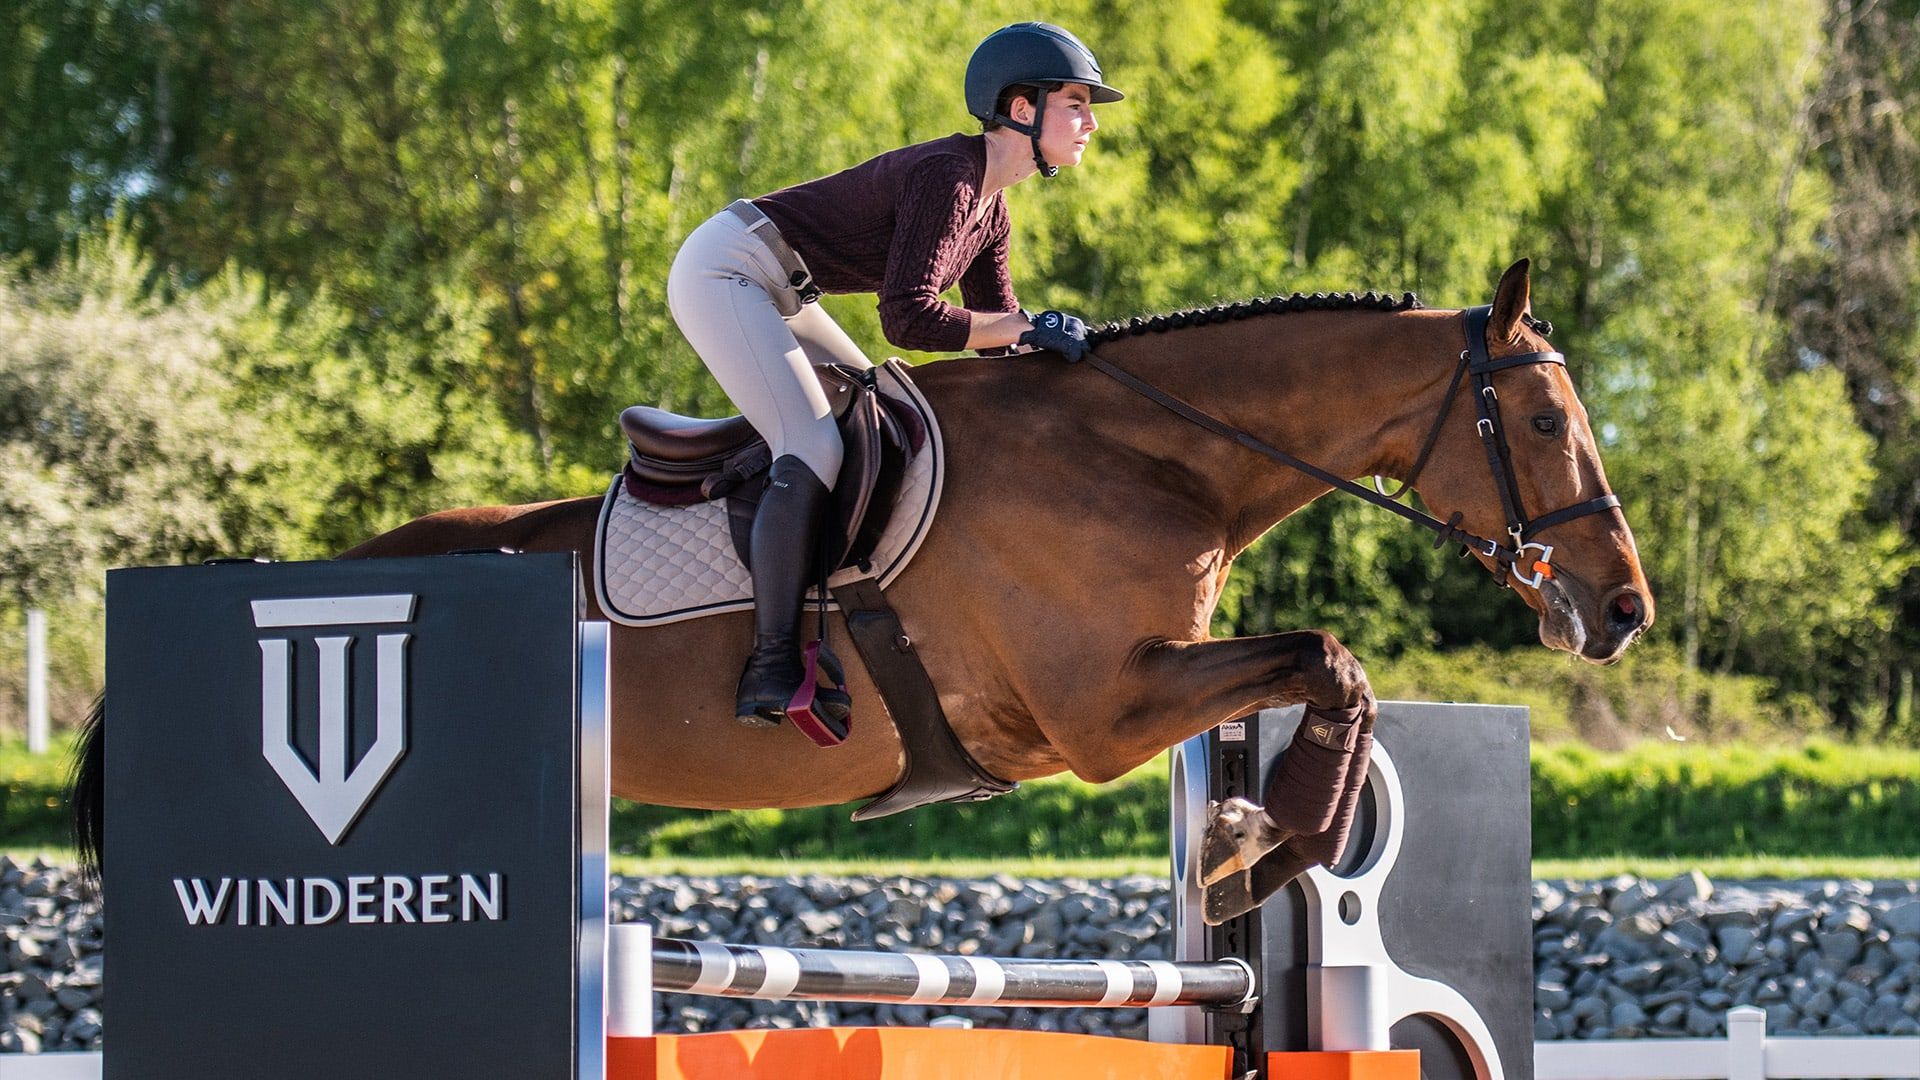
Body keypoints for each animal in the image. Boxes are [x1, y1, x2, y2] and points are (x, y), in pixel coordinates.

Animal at [73, 259, 1651, 918]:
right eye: (1545, 418)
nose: (1623, 607)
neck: (1153, 456)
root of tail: (334, 574)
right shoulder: (1102, 711)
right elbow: (1329, 653)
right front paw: (1250, 850)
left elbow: (1338, 671)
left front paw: (1257, 839)